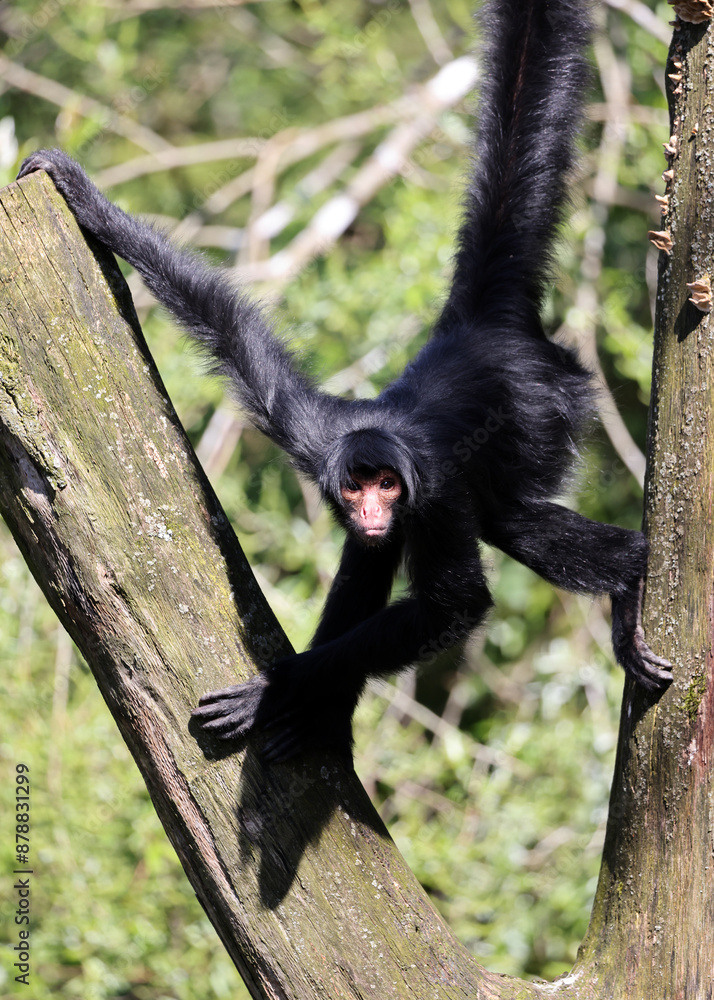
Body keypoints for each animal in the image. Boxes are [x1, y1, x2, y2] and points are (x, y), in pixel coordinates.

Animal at [18, 0, 672, 763]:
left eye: (387, 483)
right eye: (357, 487)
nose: (371, 507)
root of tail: (477, 330)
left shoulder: (433, 489)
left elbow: (455, 605)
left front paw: (280, 685)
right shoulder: (305, 427)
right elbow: (229, 326)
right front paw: (82, 196)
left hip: (543, 417)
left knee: (507, 522)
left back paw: (630, 570)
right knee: (385, 550)